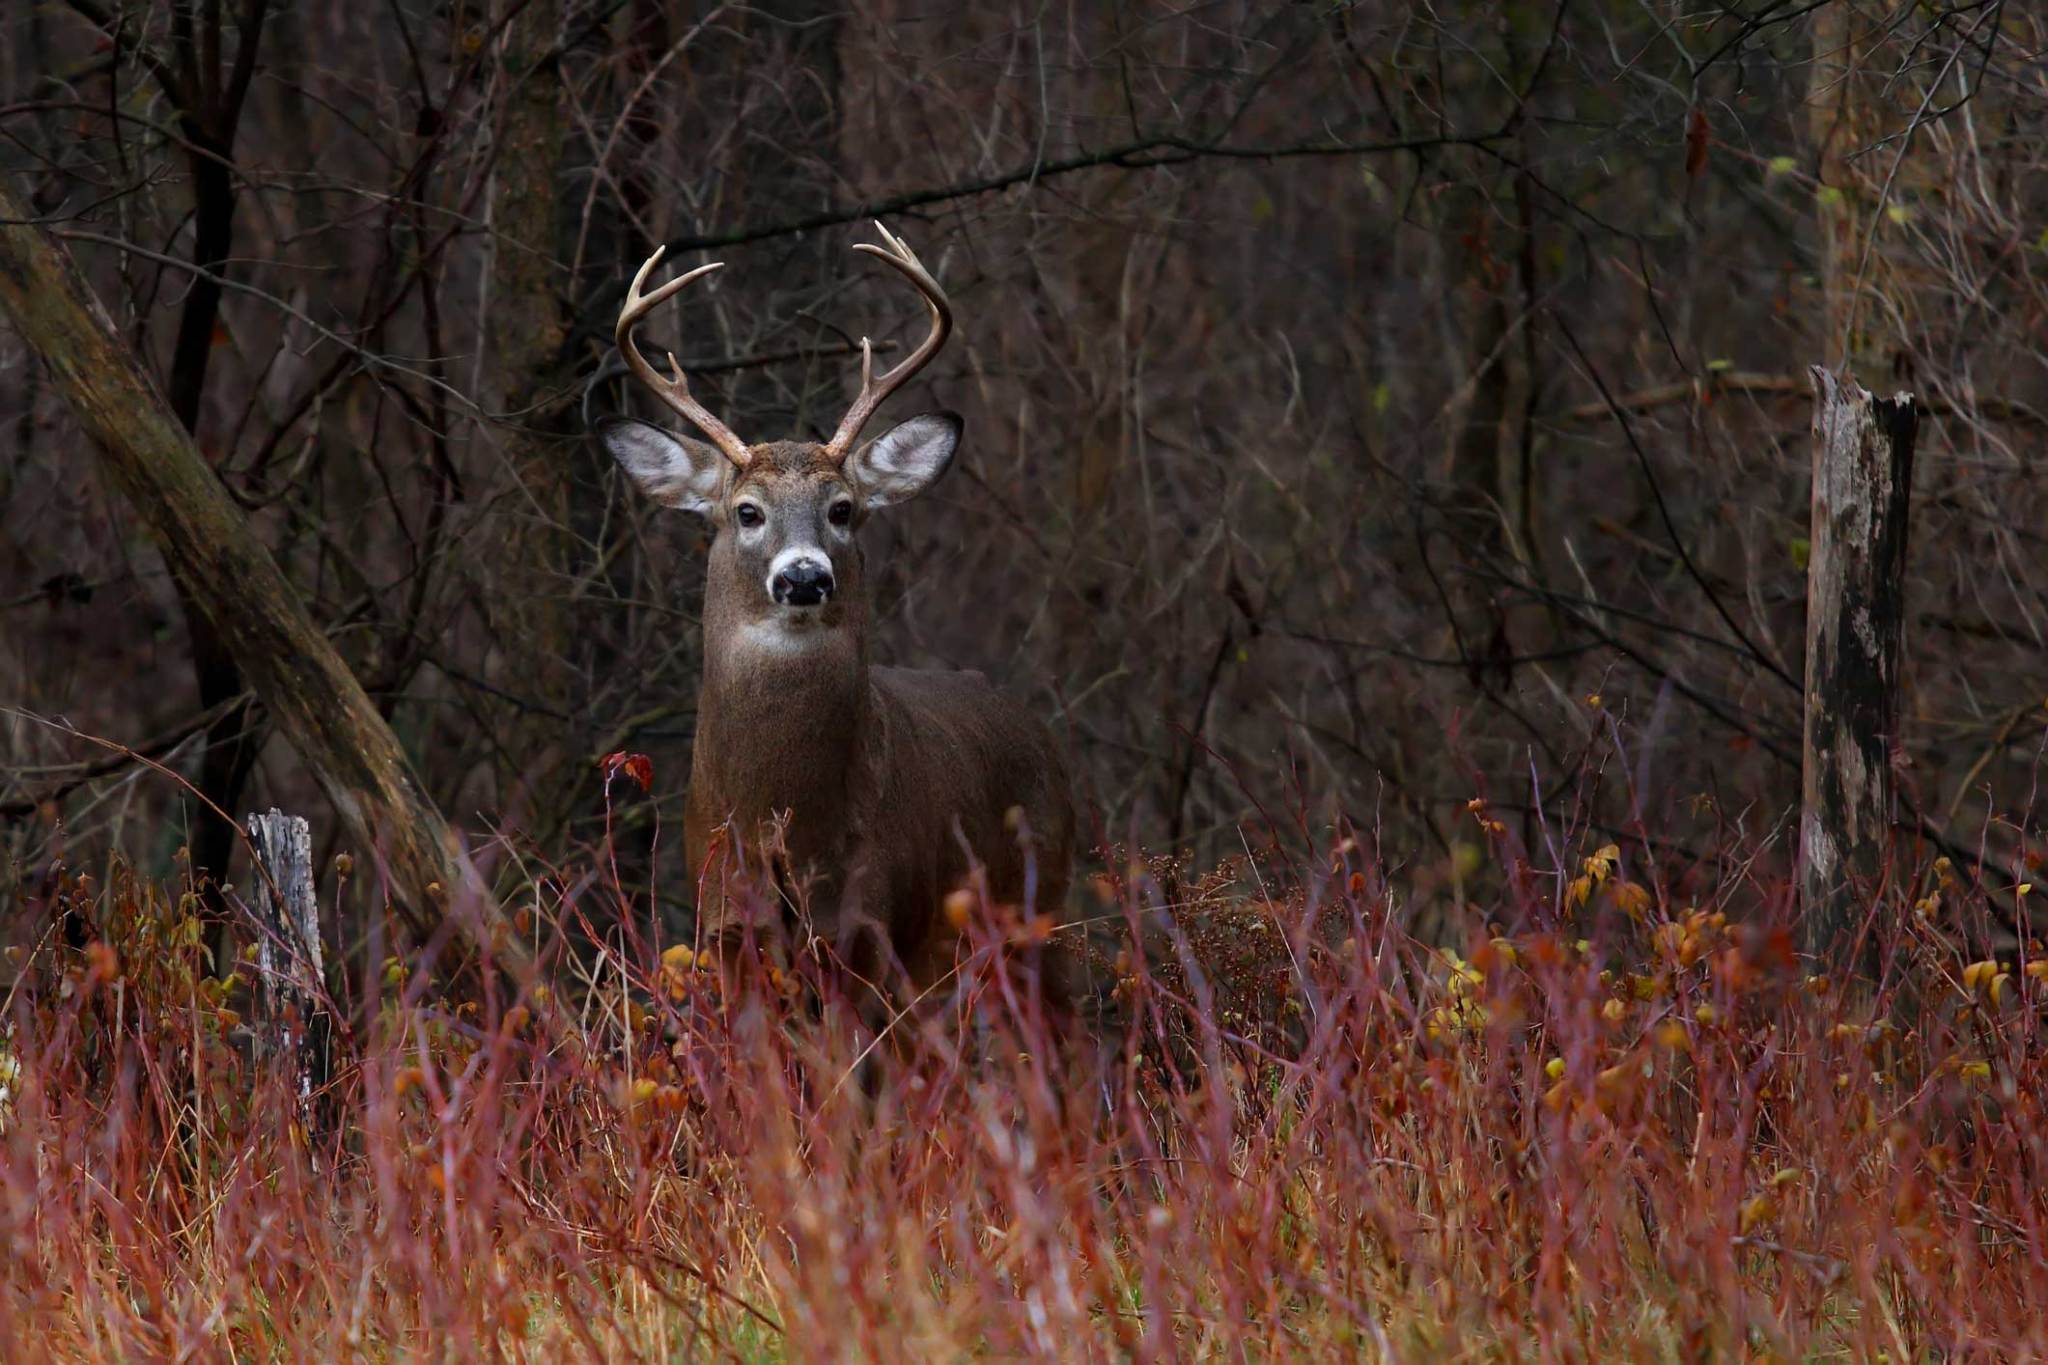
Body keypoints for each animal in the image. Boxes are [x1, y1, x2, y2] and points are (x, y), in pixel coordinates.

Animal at [596, 224, 1075, 1007]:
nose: (802, 576)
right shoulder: (725, 924)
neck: (780, 816)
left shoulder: (870, 922)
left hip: (1036, 910)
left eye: (843, 509)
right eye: (746, 511)